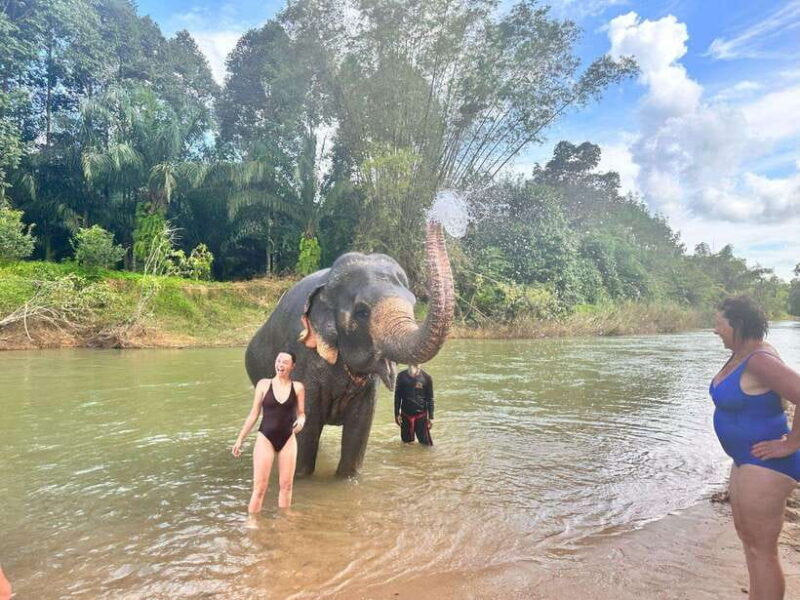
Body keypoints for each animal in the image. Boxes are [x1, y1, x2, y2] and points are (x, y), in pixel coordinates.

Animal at [245, 222, 455, 477]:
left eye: (414, 304)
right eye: (362, 312)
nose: (435, 223)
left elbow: (359, 428)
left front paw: (346, 480)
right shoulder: (303, 360)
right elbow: (306, 429)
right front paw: (301, 478)